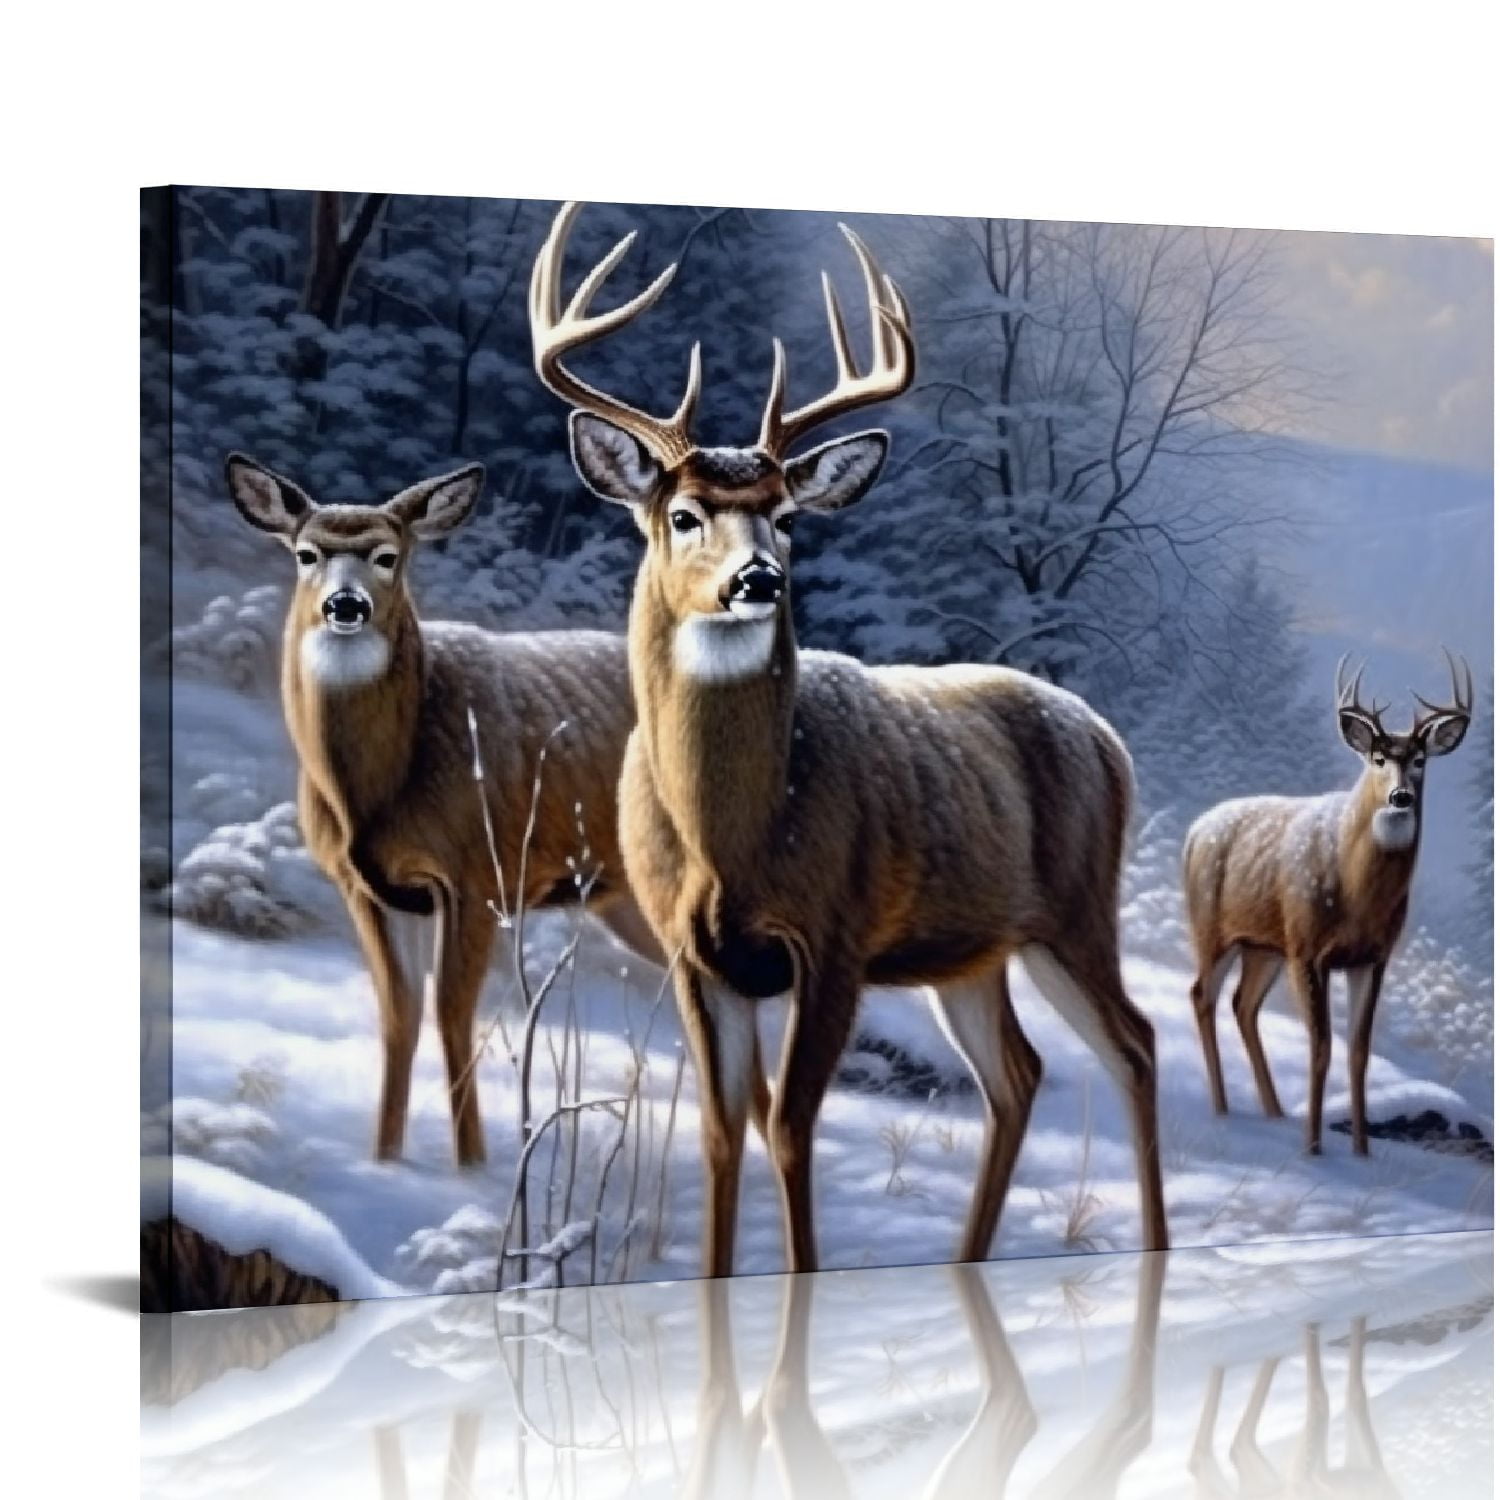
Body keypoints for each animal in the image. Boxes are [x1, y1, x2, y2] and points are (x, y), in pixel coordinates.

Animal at [223, 453, 735, 1168]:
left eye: (388, 556)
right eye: (306, 553)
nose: (345, 605)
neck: (375, 793)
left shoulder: (477, 875)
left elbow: (450, 1012)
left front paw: (472, 1165)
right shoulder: (367, 888)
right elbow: (400, 1014)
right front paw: (385, 1156)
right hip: (628, 899)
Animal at [528, 201, 1169, 1277]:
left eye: (786, 515)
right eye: (684, 513)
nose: (758, 579)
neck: (730, 844)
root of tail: (1107, 737)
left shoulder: (833, 937)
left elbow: (790, 1126)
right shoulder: (695, 957)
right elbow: (722, 1127)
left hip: (1077, 913)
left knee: (1133, 1044)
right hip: (974, 948)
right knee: (1019, 1072)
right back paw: (966, 1258)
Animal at [1183, 650, 1473, 1156]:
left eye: (1419, 760)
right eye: (1379, 757)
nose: (1401, 796)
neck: (1359, 897)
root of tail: (1194, 831)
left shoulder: (1373, 958)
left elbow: (1358, 1052)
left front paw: (1361, 1150)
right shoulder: (1307, 949)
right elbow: (1320, 1047)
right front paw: (1314, 1147)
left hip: (1264, 946)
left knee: (1243, 1004)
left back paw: (1274, 1112)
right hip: (1215, 929)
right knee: (1203, 994)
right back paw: (1222, 1108)